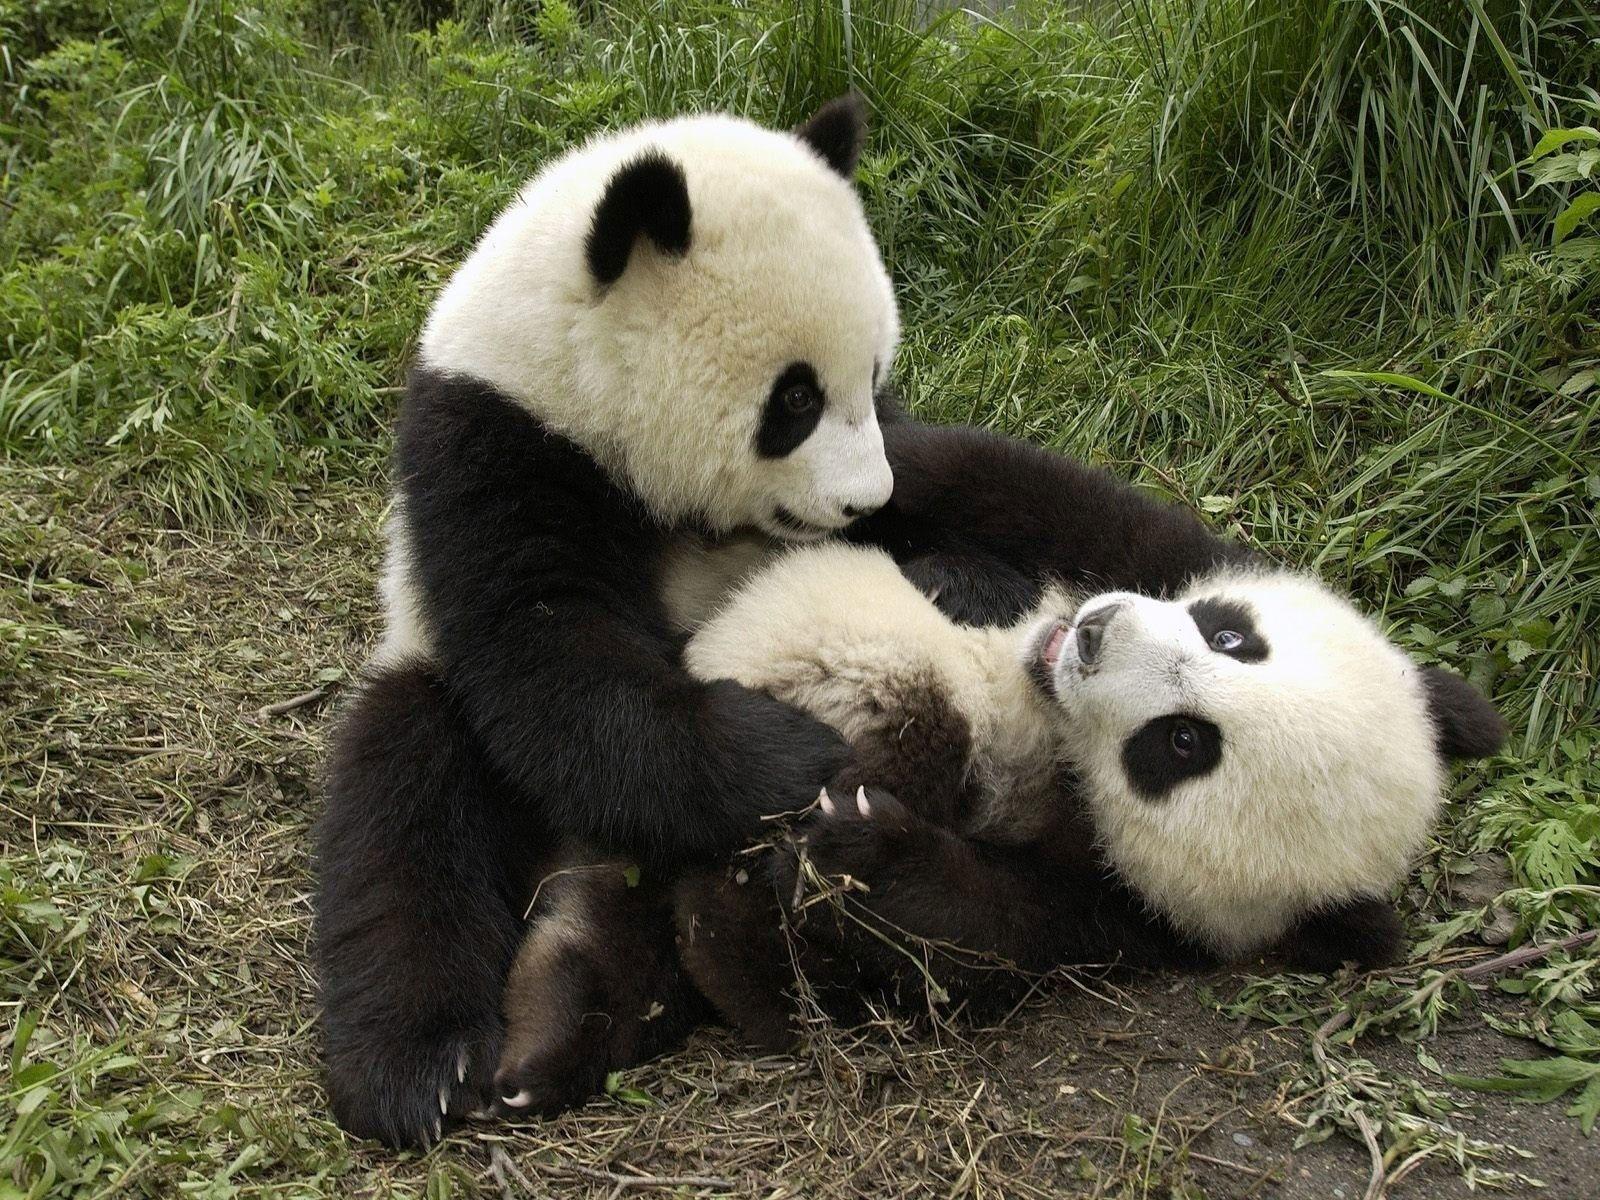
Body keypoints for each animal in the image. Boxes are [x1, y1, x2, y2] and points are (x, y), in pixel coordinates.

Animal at [315, 96, 904, 1148]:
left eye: (872, 377)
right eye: (794, 398)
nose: (864, 502)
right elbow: (548, 658)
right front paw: (789, 753)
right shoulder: (495, 449)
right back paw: (424, 1066)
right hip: (421, 689)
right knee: (403, 814)